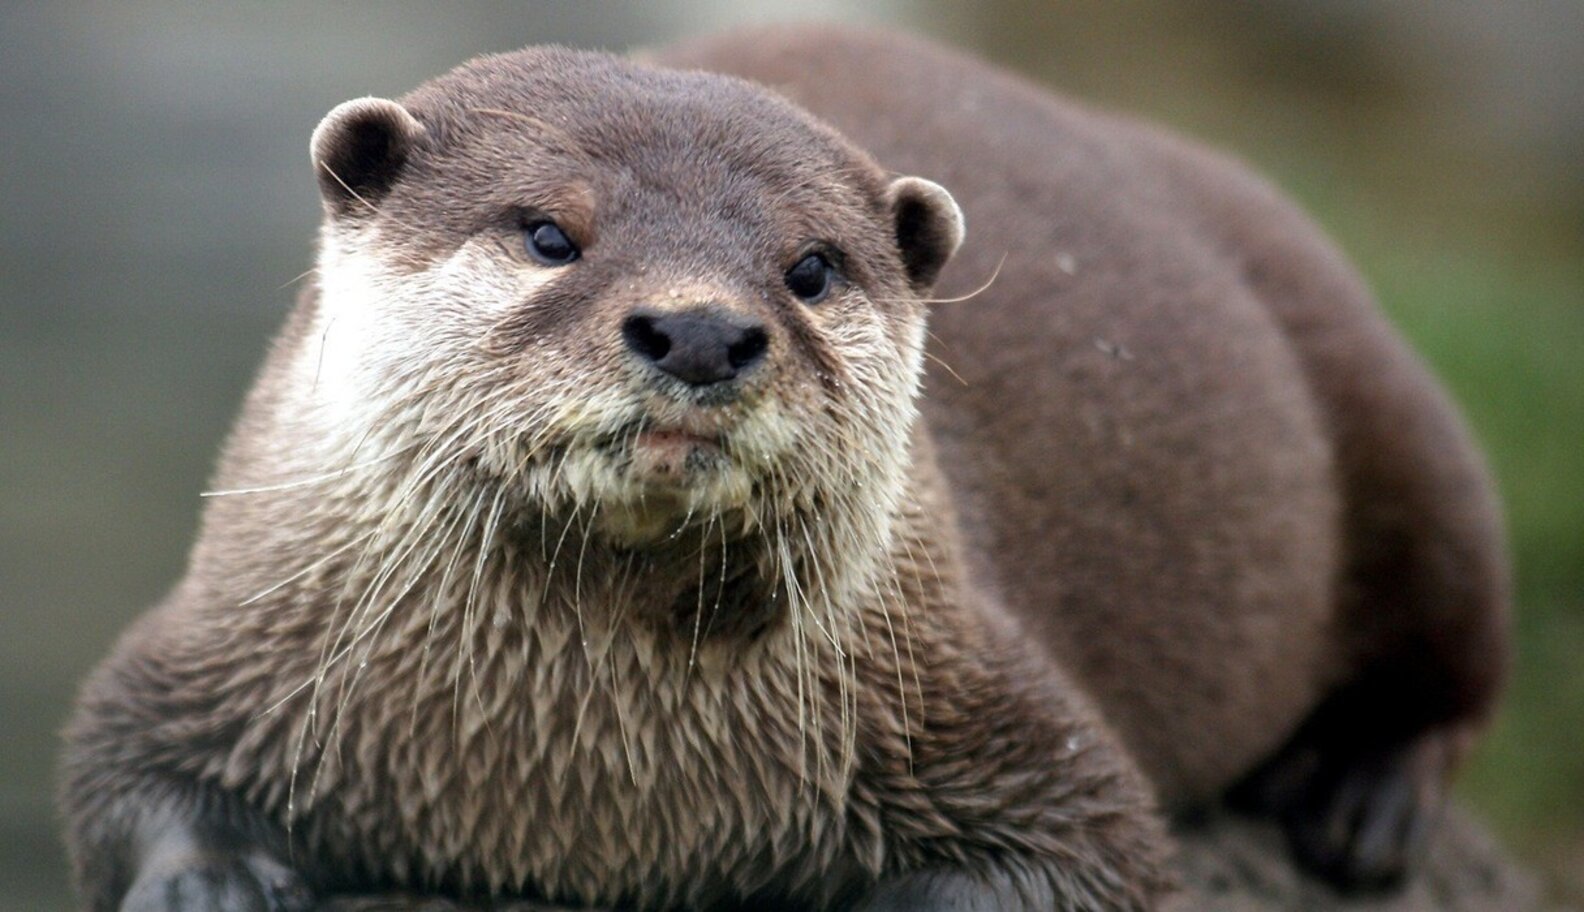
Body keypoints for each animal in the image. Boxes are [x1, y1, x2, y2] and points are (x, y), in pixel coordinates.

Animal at [62, 26, 1507, 912]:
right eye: (549, 233)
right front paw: (214, 876)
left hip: (1397, 420)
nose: (702, 329)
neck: (567, 794)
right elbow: (114, 763)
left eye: (809, 267)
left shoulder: (998, 707)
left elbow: (1095, 846)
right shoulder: (217, 639)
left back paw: (1362, 803)